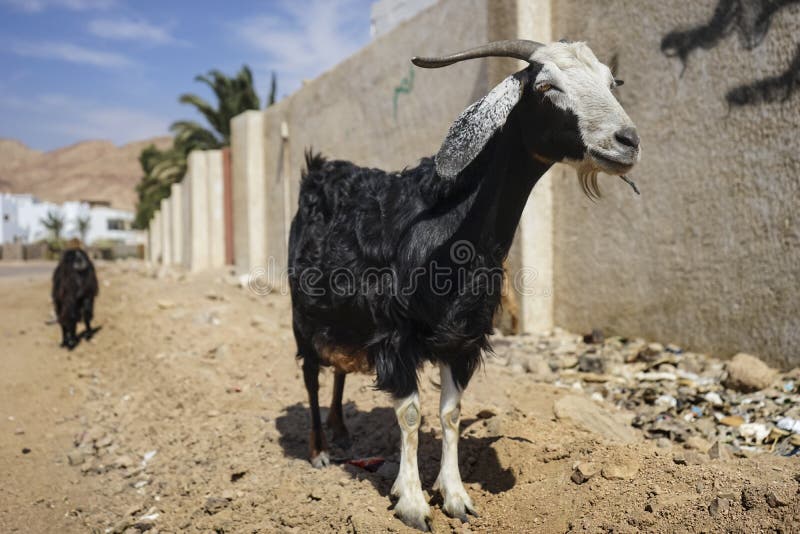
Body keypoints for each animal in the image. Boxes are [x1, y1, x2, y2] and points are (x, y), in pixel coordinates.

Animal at [288, 40, 640, 530]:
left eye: (611, 82)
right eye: (546, 87)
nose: (628, 141)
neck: (447, 231)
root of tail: (319, 170)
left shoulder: (462, 339)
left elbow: (451, 413)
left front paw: (454, 496)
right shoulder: (395, 337)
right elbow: (411, 414)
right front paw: (412, 502)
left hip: (348, 319)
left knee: (338, 369)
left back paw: (341, 431)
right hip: (302, 317)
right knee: (310, 376)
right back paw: (320, 449)